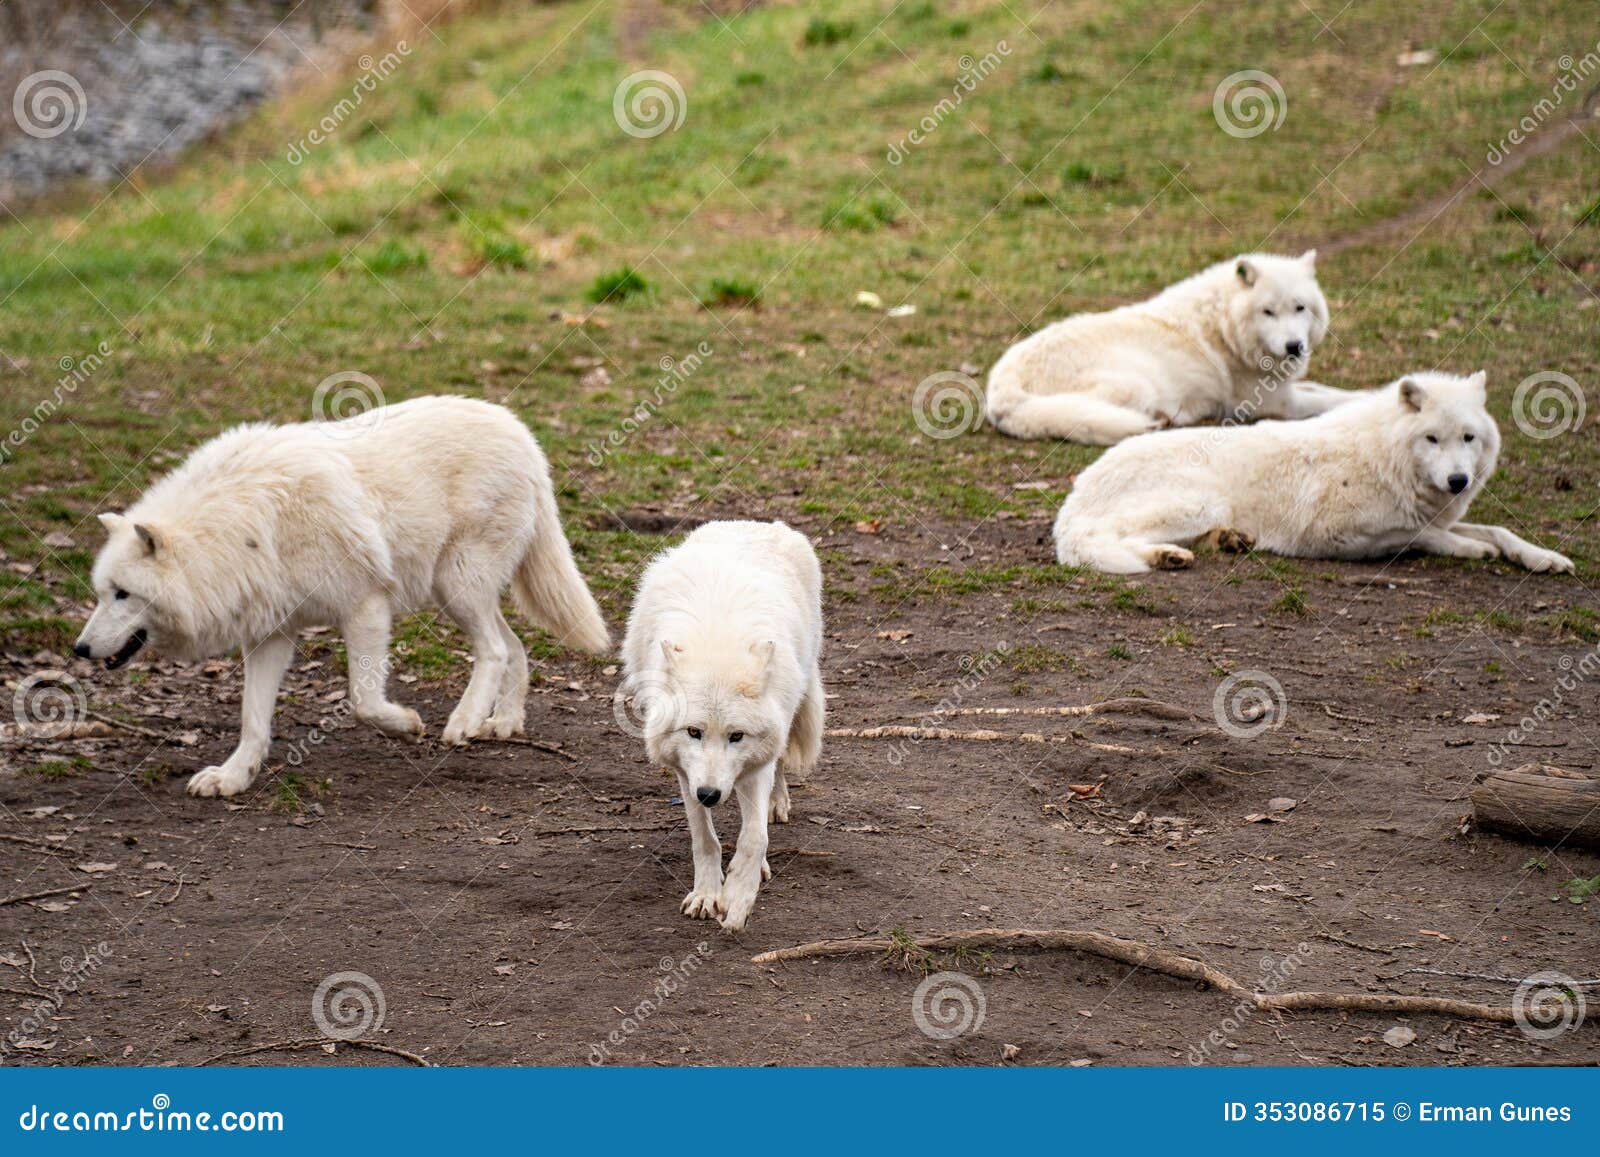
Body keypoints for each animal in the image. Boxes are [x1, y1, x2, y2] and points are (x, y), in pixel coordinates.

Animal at [74, 396, 610, 797]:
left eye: (123, 594)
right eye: (101, 594)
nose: (79, 648)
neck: (243, 529)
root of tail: (522, 433)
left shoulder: (366, 607)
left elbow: (363, 701)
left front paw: (406, 723)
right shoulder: (270, 635)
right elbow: (252, 719)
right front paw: (233, 777)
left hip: (457, 586)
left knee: (496, 650)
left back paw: (462, 722)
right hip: (453, 594)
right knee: (514, 647)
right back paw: (502, 722)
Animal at [619, 520, 825, 933]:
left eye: (736, 736)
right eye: (693, 732)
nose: (710, 794)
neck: (717, 646)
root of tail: (758, 523)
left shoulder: (754, 764)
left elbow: (754, 838)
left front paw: (739, 897)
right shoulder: (686, 771)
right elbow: (705, 839)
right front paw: (707, 894)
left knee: (777, 765)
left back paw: (776, 803)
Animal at [986, 251, 1356, 445]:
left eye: (1300, 308)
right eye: (1268, 312)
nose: (1294, 346)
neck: (1223, 327)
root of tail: (1000, 393)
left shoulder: (1285, 387)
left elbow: (1332, 391)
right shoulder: (1275, 403)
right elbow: (1330, 400)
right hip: (1138, 385)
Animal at [1052, 370, 1575, 575]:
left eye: (1468, 438)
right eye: (1432, 439)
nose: (1458, 482)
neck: (1384, 457)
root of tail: (1073, 501)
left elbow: (1499, 529)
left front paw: (1543, 557)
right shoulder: (1337, 534)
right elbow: (1421, 534)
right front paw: (1470, 549)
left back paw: (1223, 543)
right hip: (1200, 501)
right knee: (1116, 542)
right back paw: (1167, 557)